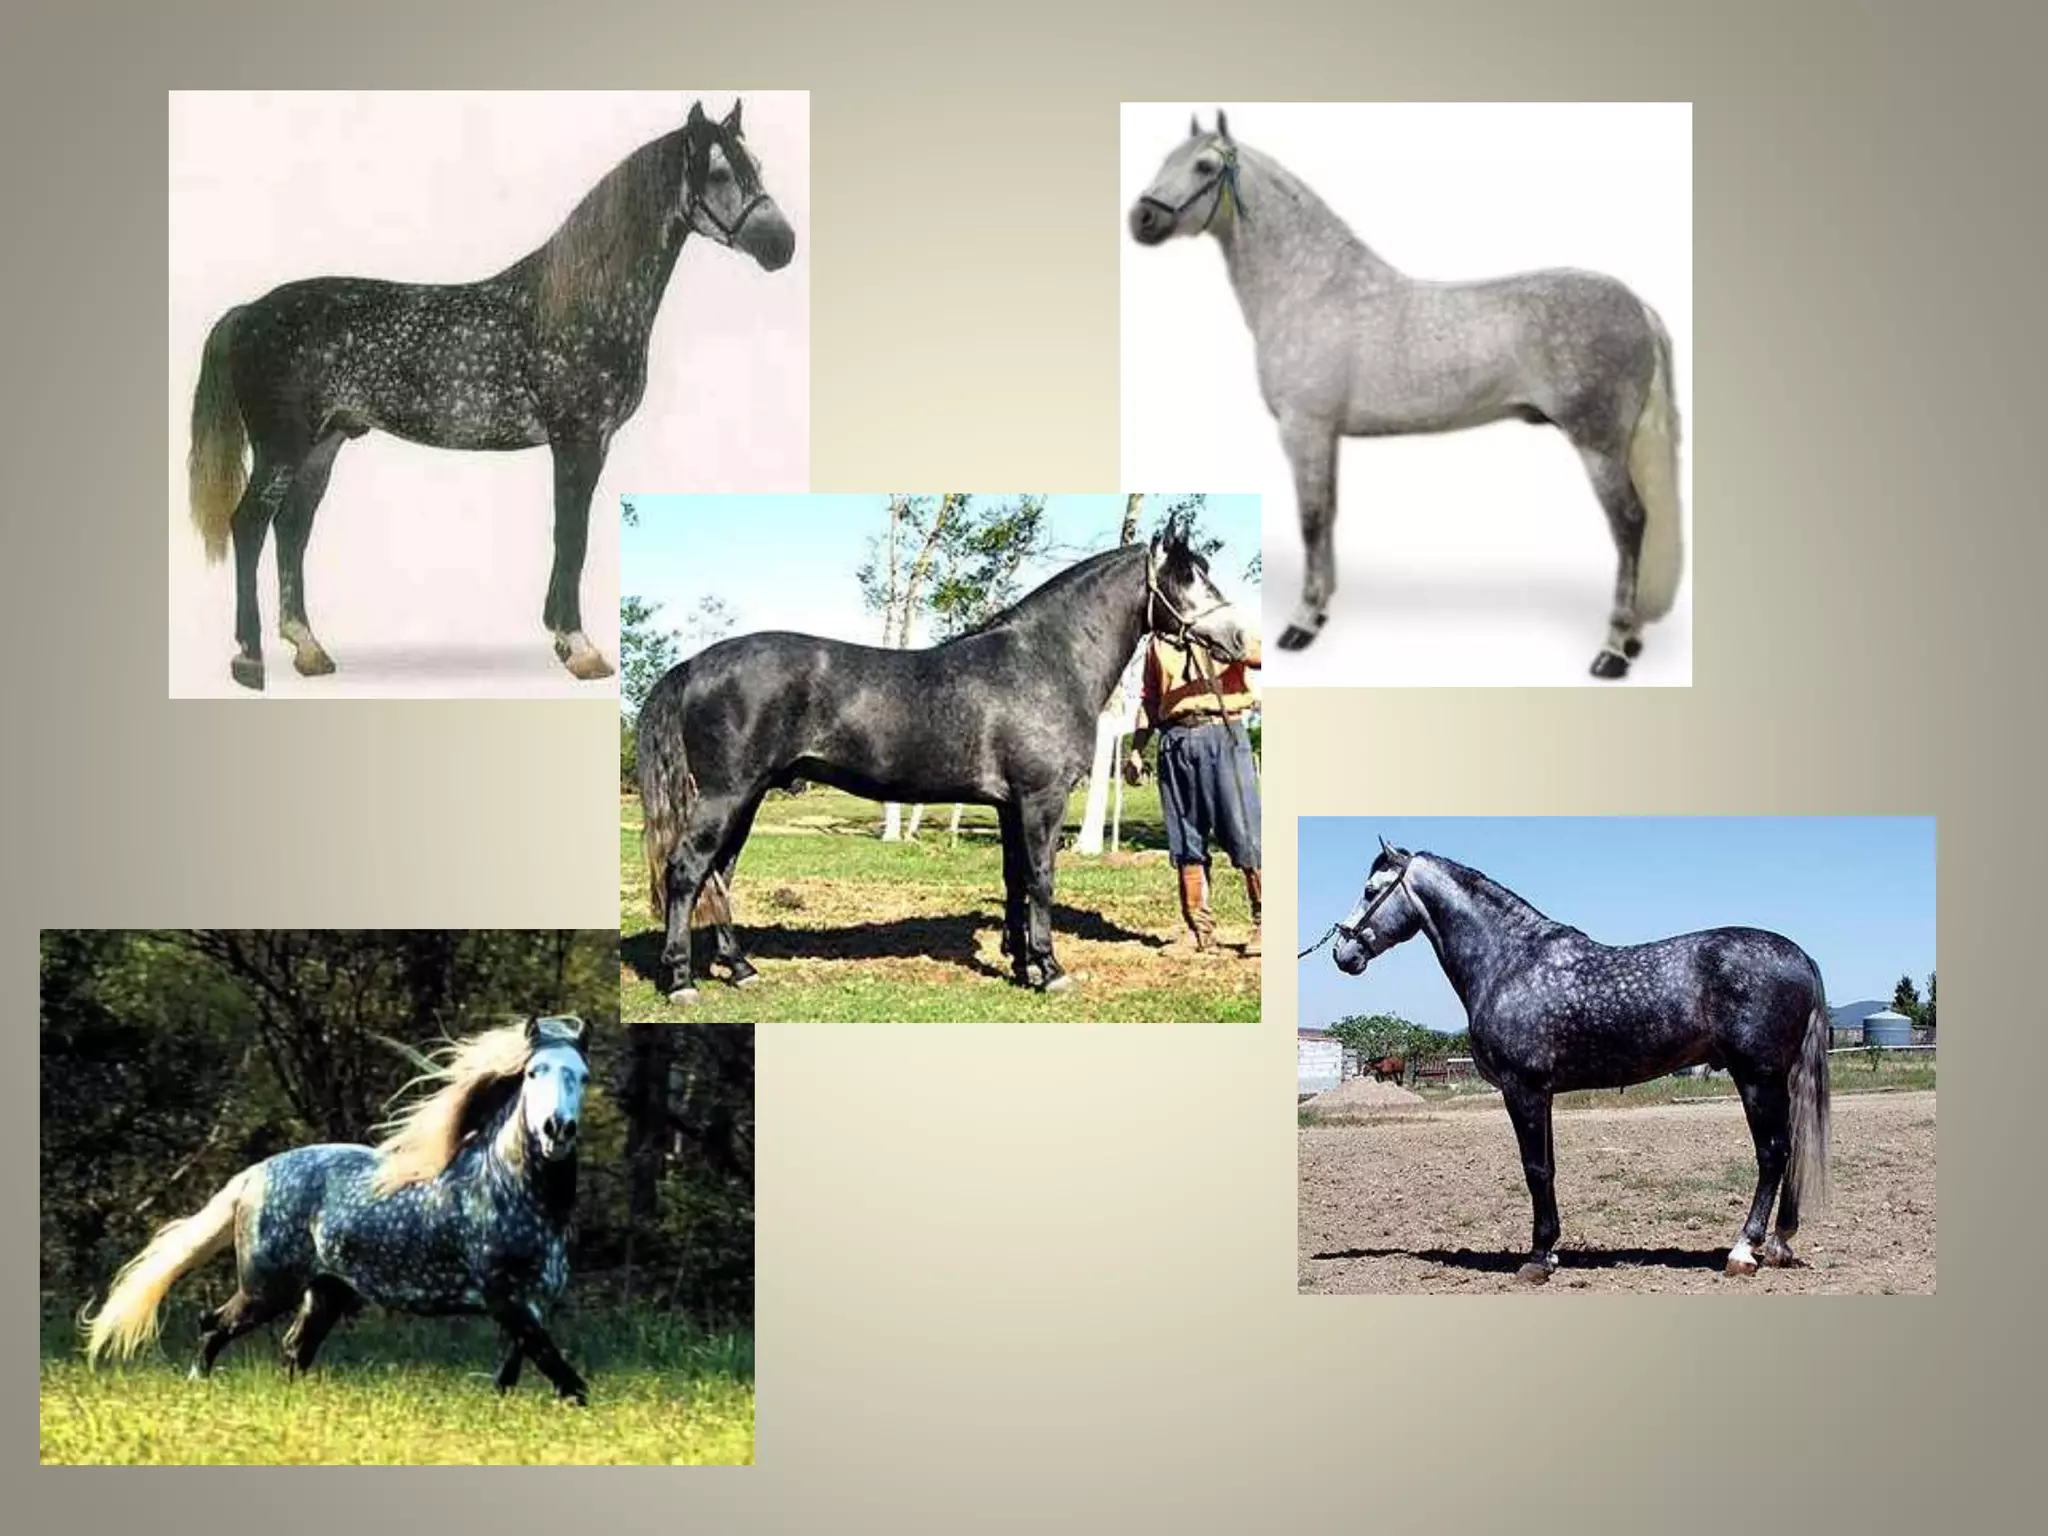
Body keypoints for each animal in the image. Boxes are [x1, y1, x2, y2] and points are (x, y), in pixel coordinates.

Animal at [82, 1016, 594, 1402]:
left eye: (583, 1075)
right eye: (533, 1072)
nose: (557, 1129)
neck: (509, 1191)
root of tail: (253, 1176)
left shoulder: (530, 1304)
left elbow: (516, 1370)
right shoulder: (504, 1299)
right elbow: (560, 1371)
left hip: (325, 1292)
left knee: (294, 1349)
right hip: (268, 1288)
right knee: (214, 1326)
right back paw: (199, 1388)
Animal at [187, 97, 796, 691]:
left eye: (757, 166)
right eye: (718, 172)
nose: (782, 246)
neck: (581, 301)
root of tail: (248, 312)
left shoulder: (586, 444)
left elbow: (568, 538)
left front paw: (559, 637)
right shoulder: (578, 439)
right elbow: (571, 536)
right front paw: (580, 648)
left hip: (323, 442)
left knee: (291, 528)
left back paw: (309, 648)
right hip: (281, 446)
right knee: (248, 526)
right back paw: (249, 659)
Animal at [636, 528, 1250, 1002]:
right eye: (1189, 578)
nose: (1239, 638)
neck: (1044, 661)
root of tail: (695, 664)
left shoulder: (1009, 805)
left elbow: (1014, 880)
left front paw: (1021, 965)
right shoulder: (1042, 799)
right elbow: (1042, 879)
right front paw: (1051, 971)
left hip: (748, 795)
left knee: (720, 873)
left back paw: (740, 969)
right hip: (726, 794)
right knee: (688, 870)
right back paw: (682, 981)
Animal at [1130, 112, 1682, 680]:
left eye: (1204, 166)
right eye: (1166, 159)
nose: (1142, 219)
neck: (1308, 288)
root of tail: (1639, 306)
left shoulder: (1305, 430)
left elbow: (1311, 520)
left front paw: (1301, 624)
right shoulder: (1326, 437)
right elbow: (1327, 516)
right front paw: (1320, 610)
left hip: (1599, 445)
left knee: (1630, 525)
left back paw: (1613, 650)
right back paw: (1630, 640)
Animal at [1318, 841, 1830, 1283]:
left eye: (1370, 891)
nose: (1343, 953)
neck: (1510, 963)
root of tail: (1801, 955)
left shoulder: (1522, 1088)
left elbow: (1535, 1169)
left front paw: (1536, 1259)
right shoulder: (1541, 1092)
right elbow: (1548, 1167)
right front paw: (1551, 1252)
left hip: (1757, 1077)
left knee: (1773, 1153)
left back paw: (1744, 1250)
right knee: (1787, 1150)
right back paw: (1780, 1243)